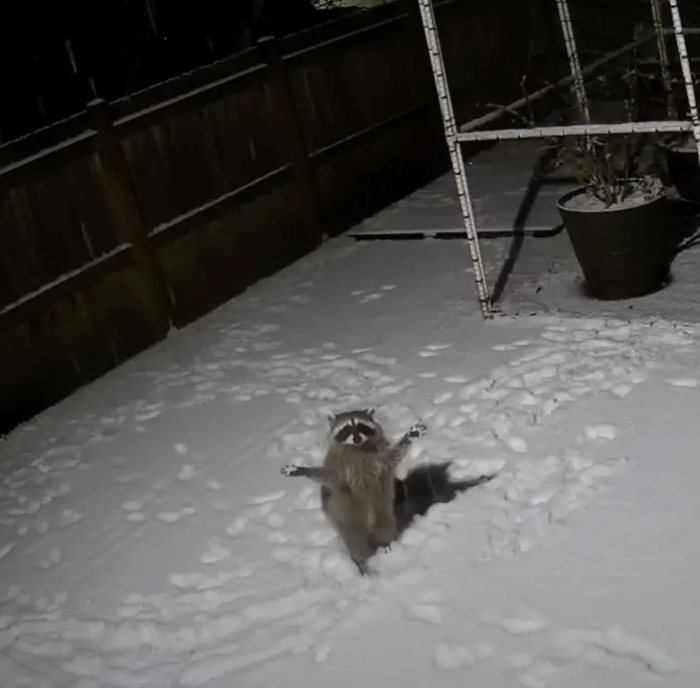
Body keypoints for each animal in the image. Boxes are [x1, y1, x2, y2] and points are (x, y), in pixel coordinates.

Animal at [280, 409, 427, 575]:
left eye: (361, 426)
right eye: (347, 429)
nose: (356, 439)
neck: (357, 447)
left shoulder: (380, 454)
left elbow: (393, 456)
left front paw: (409, 437)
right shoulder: (337, 463)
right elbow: (330, 477)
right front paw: (302, 470)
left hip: (383, 511)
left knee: (385, 528)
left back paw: (388, 548)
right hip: (347, 516)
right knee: (356, 541)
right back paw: (363, 561)